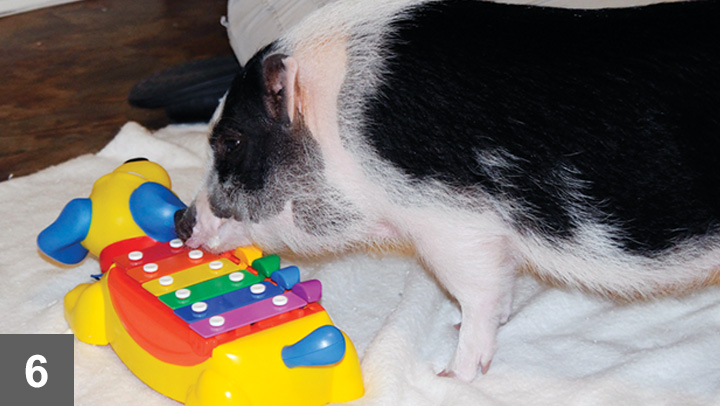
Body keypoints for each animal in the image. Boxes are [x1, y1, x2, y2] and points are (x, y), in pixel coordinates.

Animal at [175, 0, 720, 381]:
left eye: (230, 141)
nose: (181, 221)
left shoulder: (450, 220)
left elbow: (479, 292)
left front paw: (452, 374)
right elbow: (497, 288)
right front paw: (458, 331)